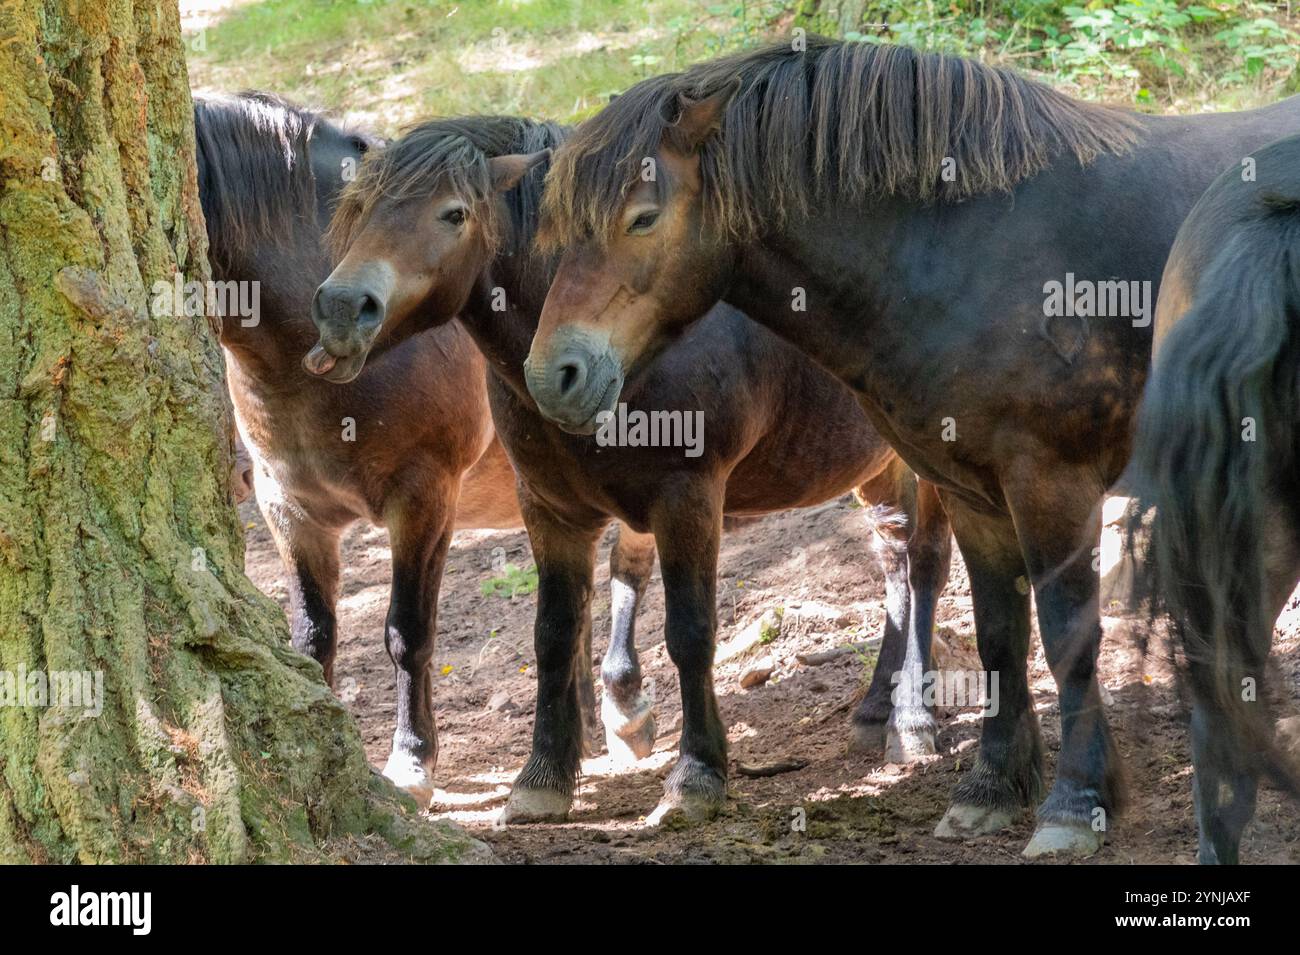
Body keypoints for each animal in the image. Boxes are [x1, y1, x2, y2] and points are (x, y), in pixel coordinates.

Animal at [306, 115, 953, 824]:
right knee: (894, 559)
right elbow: (555, 635)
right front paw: (542, 777)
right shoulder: (551, 510)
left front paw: (696, 776)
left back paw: (913, 722)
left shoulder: (687, 499)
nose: (342, 307)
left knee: (924, 562)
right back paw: (874, 711)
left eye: (453, 213)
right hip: (876, 467)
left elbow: (691, 633)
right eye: (359, 211)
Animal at [522, 37, 1300, 857]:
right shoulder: (972, 494)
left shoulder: (1051, 486)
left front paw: (1074, 801)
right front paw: (992, 786)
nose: (553, 374)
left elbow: (1067, 637)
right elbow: (999, 637)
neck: (970, 248)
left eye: (642, 217)